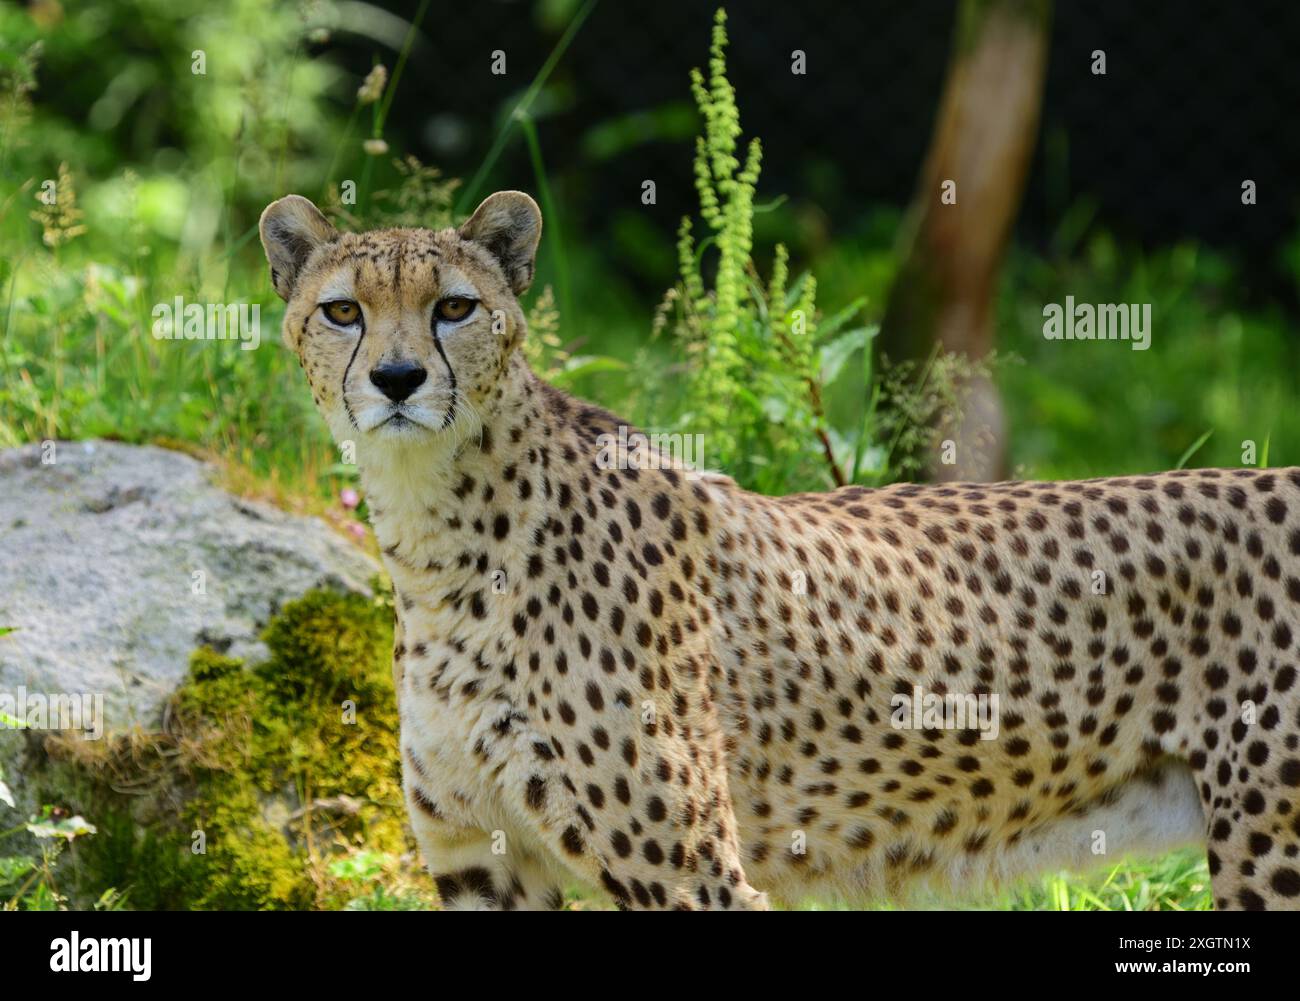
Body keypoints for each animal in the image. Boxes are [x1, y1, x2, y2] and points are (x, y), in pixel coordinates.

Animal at [260, 190, 1300, 910]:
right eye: (344, 311)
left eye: (454, 307)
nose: (398, 378)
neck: (437, 542)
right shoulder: (485, 862)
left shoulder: (691, 877)